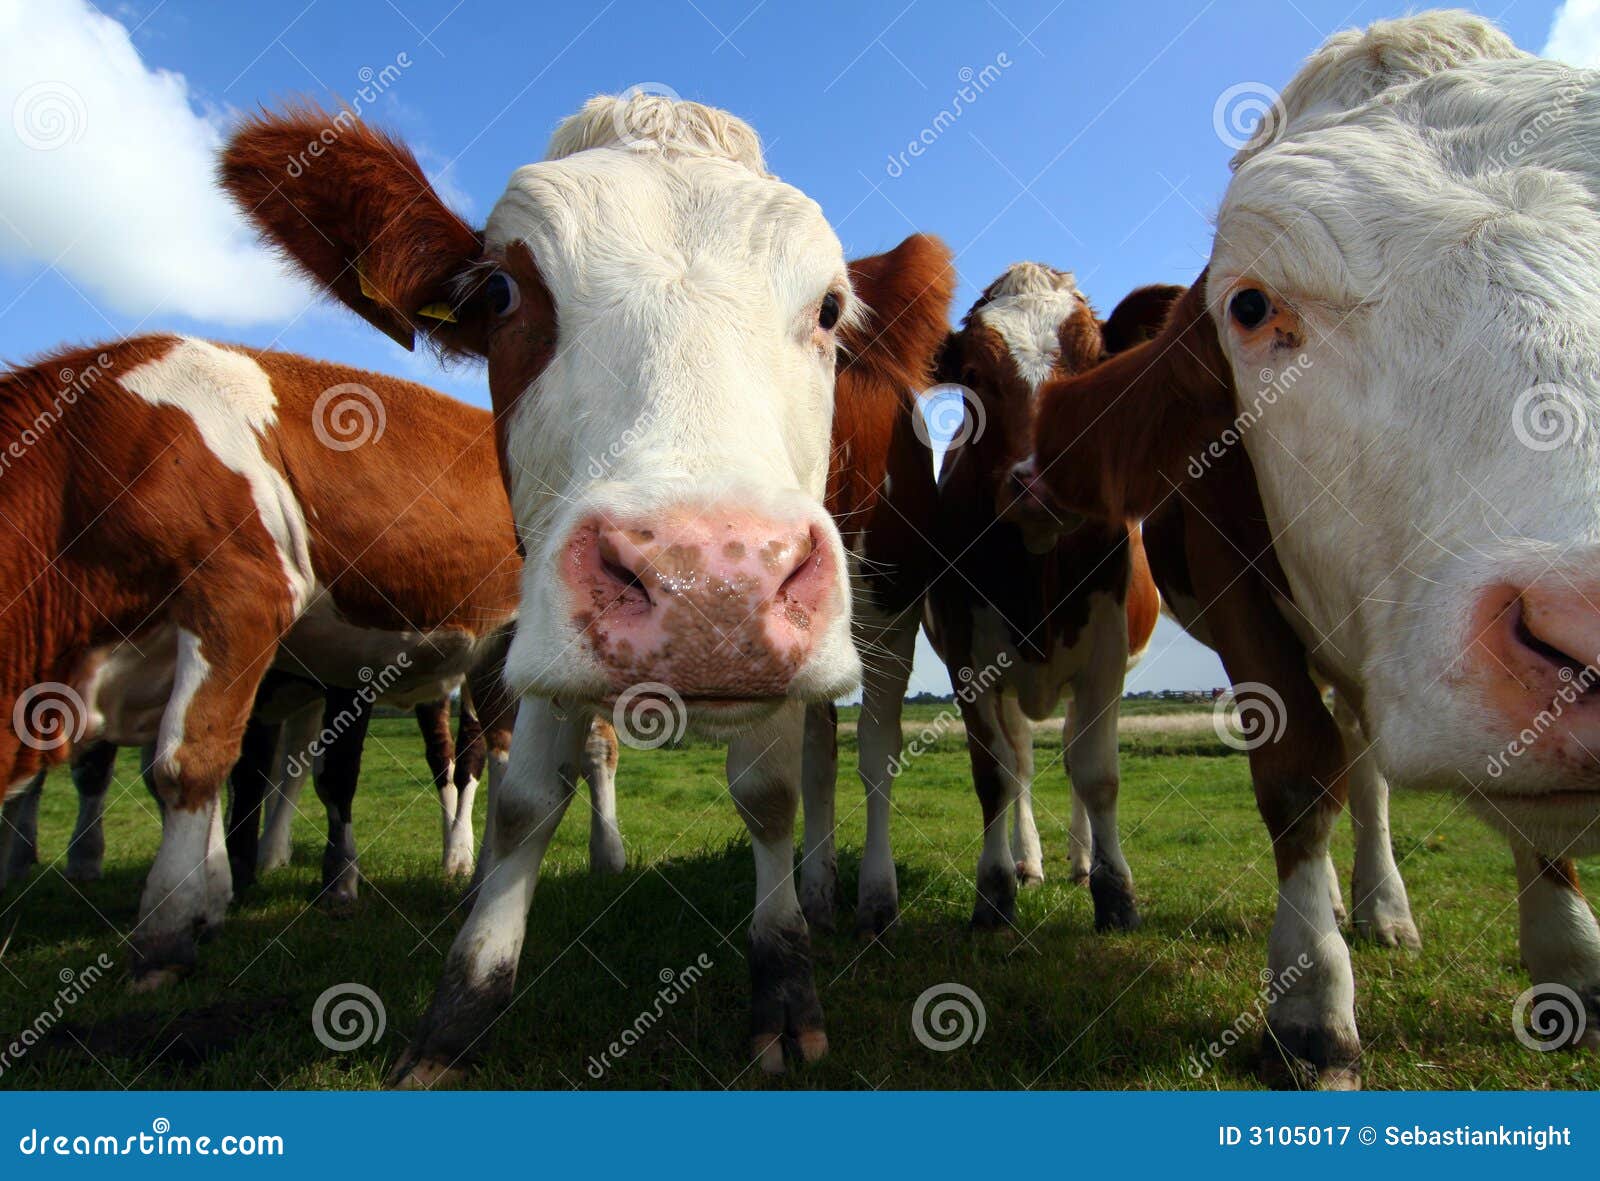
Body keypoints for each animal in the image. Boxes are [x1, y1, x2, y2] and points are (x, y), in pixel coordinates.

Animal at [221, 94, 953, 1082]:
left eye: (830, 308)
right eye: (500, 293)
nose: (708, 576)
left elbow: (766, 792)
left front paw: (785, 992)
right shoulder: (539, 622)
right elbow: (526, 799)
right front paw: (457, 1016)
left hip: (884, 610)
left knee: (872, 749)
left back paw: (870, 896)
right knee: (824, 749)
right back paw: (822, 887)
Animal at [925, 263, 1161, 933]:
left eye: (1094, 367)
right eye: (974, 375)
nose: (1040, 483)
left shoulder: (1107, 658)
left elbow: (1098, 774)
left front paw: (1116, 893)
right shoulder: (968, 663)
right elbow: (995, 775)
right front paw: (994, 891)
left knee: (1076, 758)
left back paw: (1081, 863)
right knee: (1025, 765)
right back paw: (1029, 864)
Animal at [1018, 12, 1600, 1086]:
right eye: (1250, 307)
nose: (1582, 623)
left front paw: (1568, 954)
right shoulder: (1239, 599)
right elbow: (1295, 775)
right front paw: (1312, 1004)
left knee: (1367, 768)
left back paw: (1378, 904)